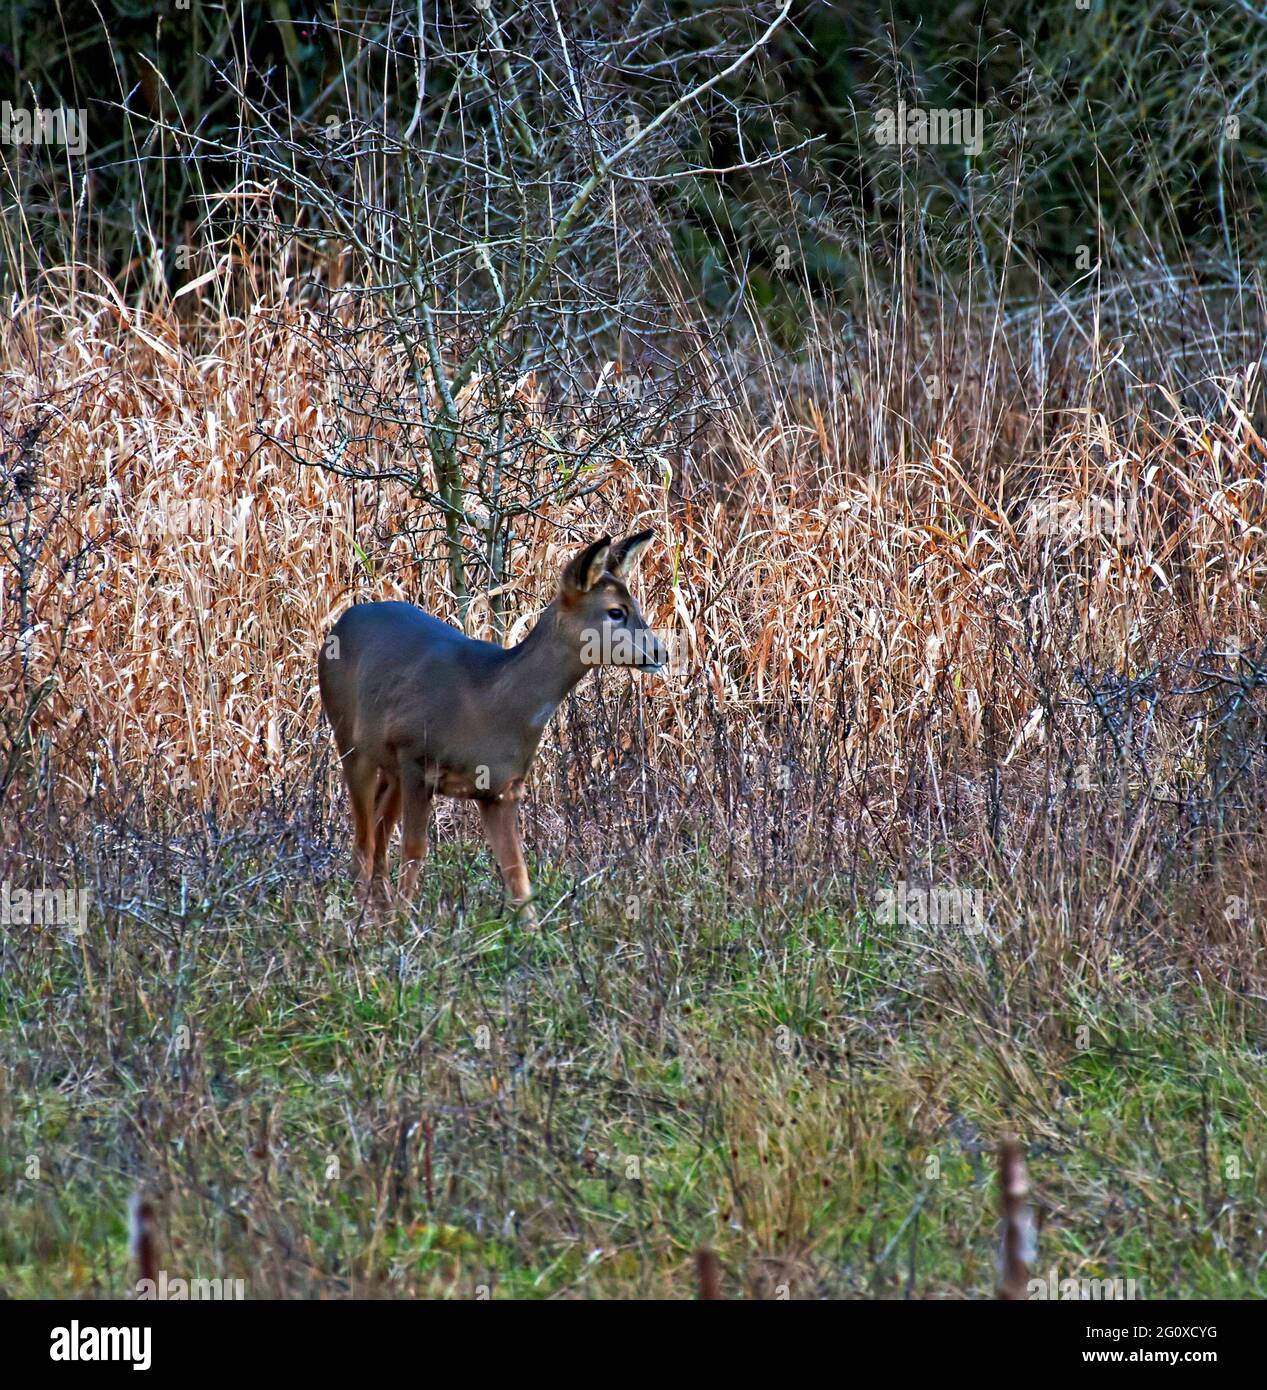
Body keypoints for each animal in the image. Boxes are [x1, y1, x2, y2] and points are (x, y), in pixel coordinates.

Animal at [318, 532, 666, 918]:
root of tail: (342, 621)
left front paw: (532, 929)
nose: (660, 652)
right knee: (365, 842)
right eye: (615, 611)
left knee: (376, 837)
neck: (486, 704)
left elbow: (517, 872)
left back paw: (377, 914)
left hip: (389, 763)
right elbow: (414, 850)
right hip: (350, 739)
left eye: (636, 606)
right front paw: (408, 922)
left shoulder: (502, 788)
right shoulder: (416, 758)